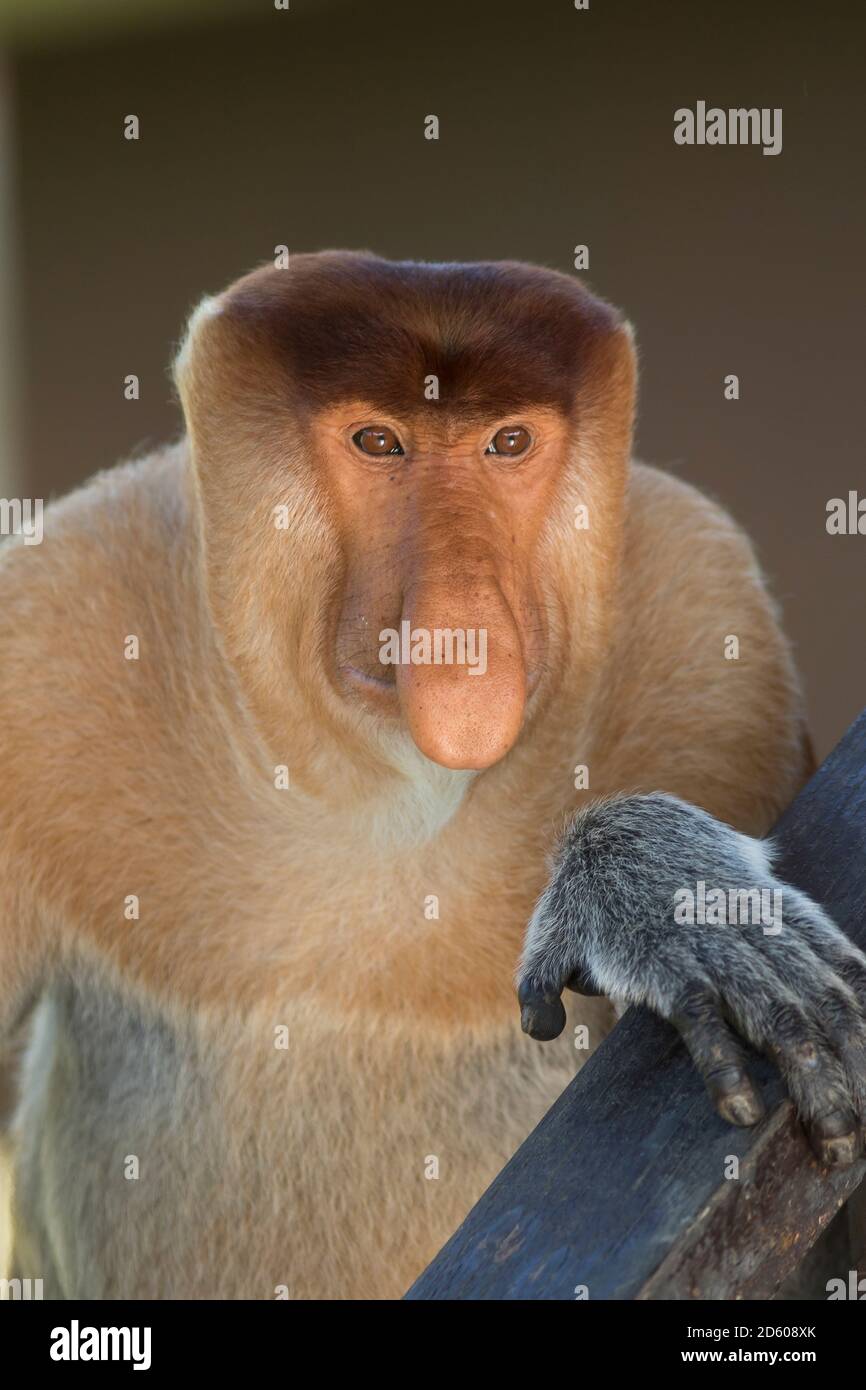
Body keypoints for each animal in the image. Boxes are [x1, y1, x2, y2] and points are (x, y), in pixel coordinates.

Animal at [1, 251, 865, 1301]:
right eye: (379, 440)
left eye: (507, 442)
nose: (461, 631)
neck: (384, 803)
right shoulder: (45, 635)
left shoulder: (712, 621)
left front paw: (663, 890)